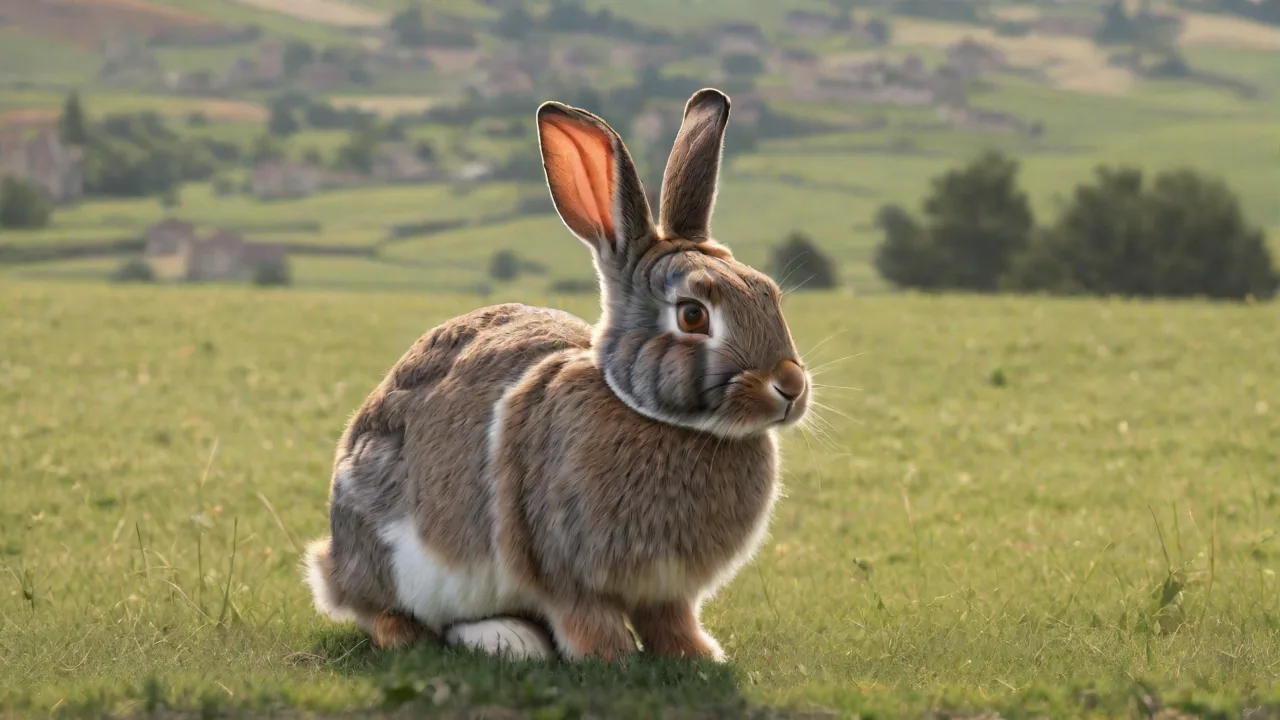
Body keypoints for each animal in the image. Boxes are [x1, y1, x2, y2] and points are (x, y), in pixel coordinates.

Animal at [303, 87, 812, 663]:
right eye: (692, 315)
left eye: (768, 292)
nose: (791, 388)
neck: (664, 420)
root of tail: (332, 565)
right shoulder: (564, 571)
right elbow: (586, 617)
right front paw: (609, 656)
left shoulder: (666, 591)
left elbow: (671, 620)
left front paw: (696, 654)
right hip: (391, 553)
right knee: (383, 613)